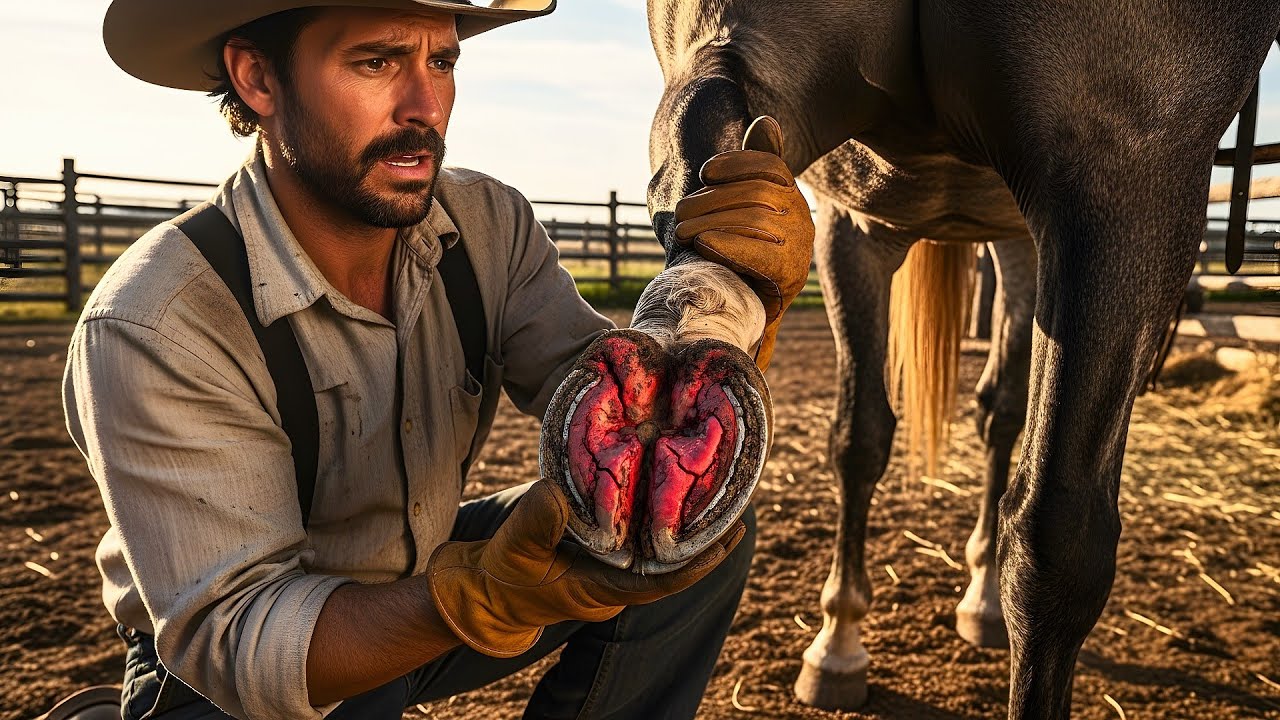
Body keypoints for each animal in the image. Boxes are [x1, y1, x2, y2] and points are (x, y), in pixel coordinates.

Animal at [635, 1, 1280, 717]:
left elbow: (1059, 538)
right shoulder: (831, 200)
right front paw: (836, 643)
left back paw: (985, 600)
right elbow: (858, 440)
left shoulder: (1128, 179)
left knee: (1006, 425)